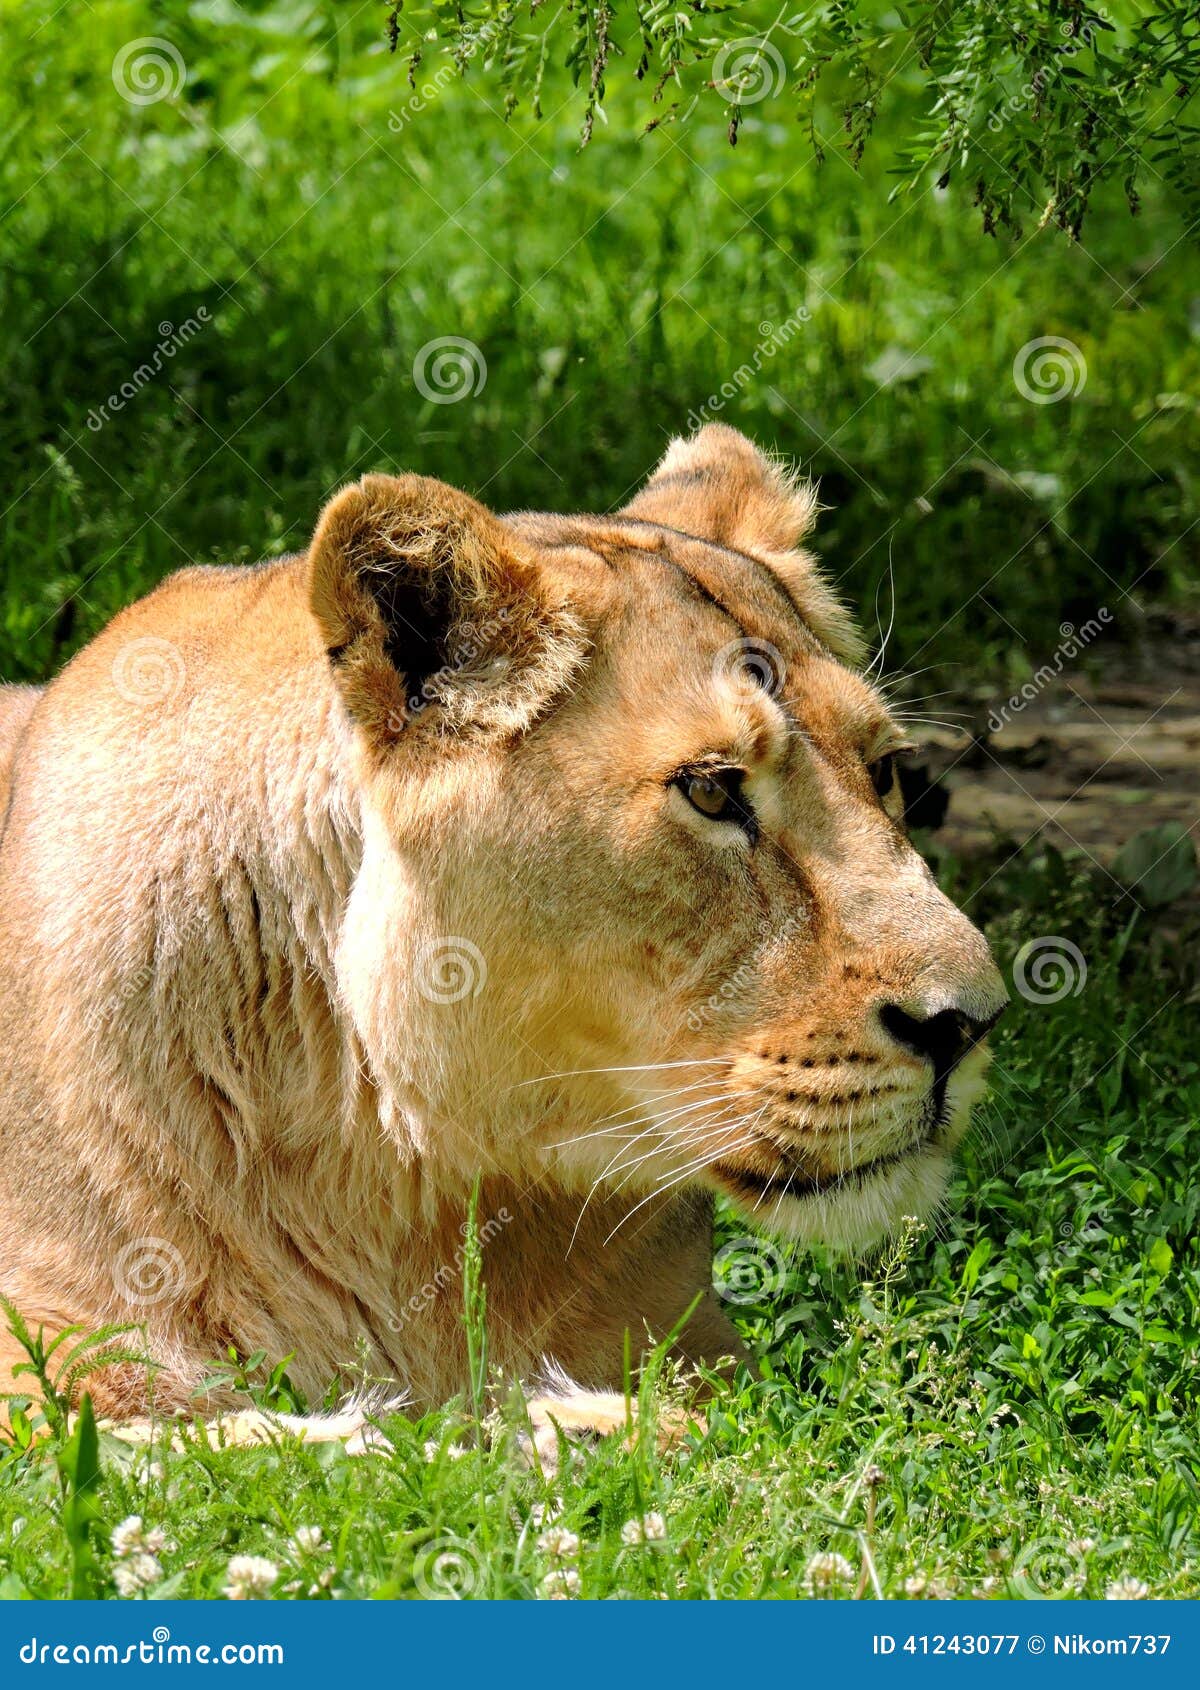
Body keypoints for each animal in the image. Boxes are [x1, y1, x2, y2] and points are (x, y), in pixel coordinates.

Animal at [0, 424, 1005, 1452]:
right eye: (712, 790)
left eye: (884, 770)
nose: (967, 1024)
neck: (399, 1185)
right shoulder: (42, 1350)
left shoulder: (698, 1349)